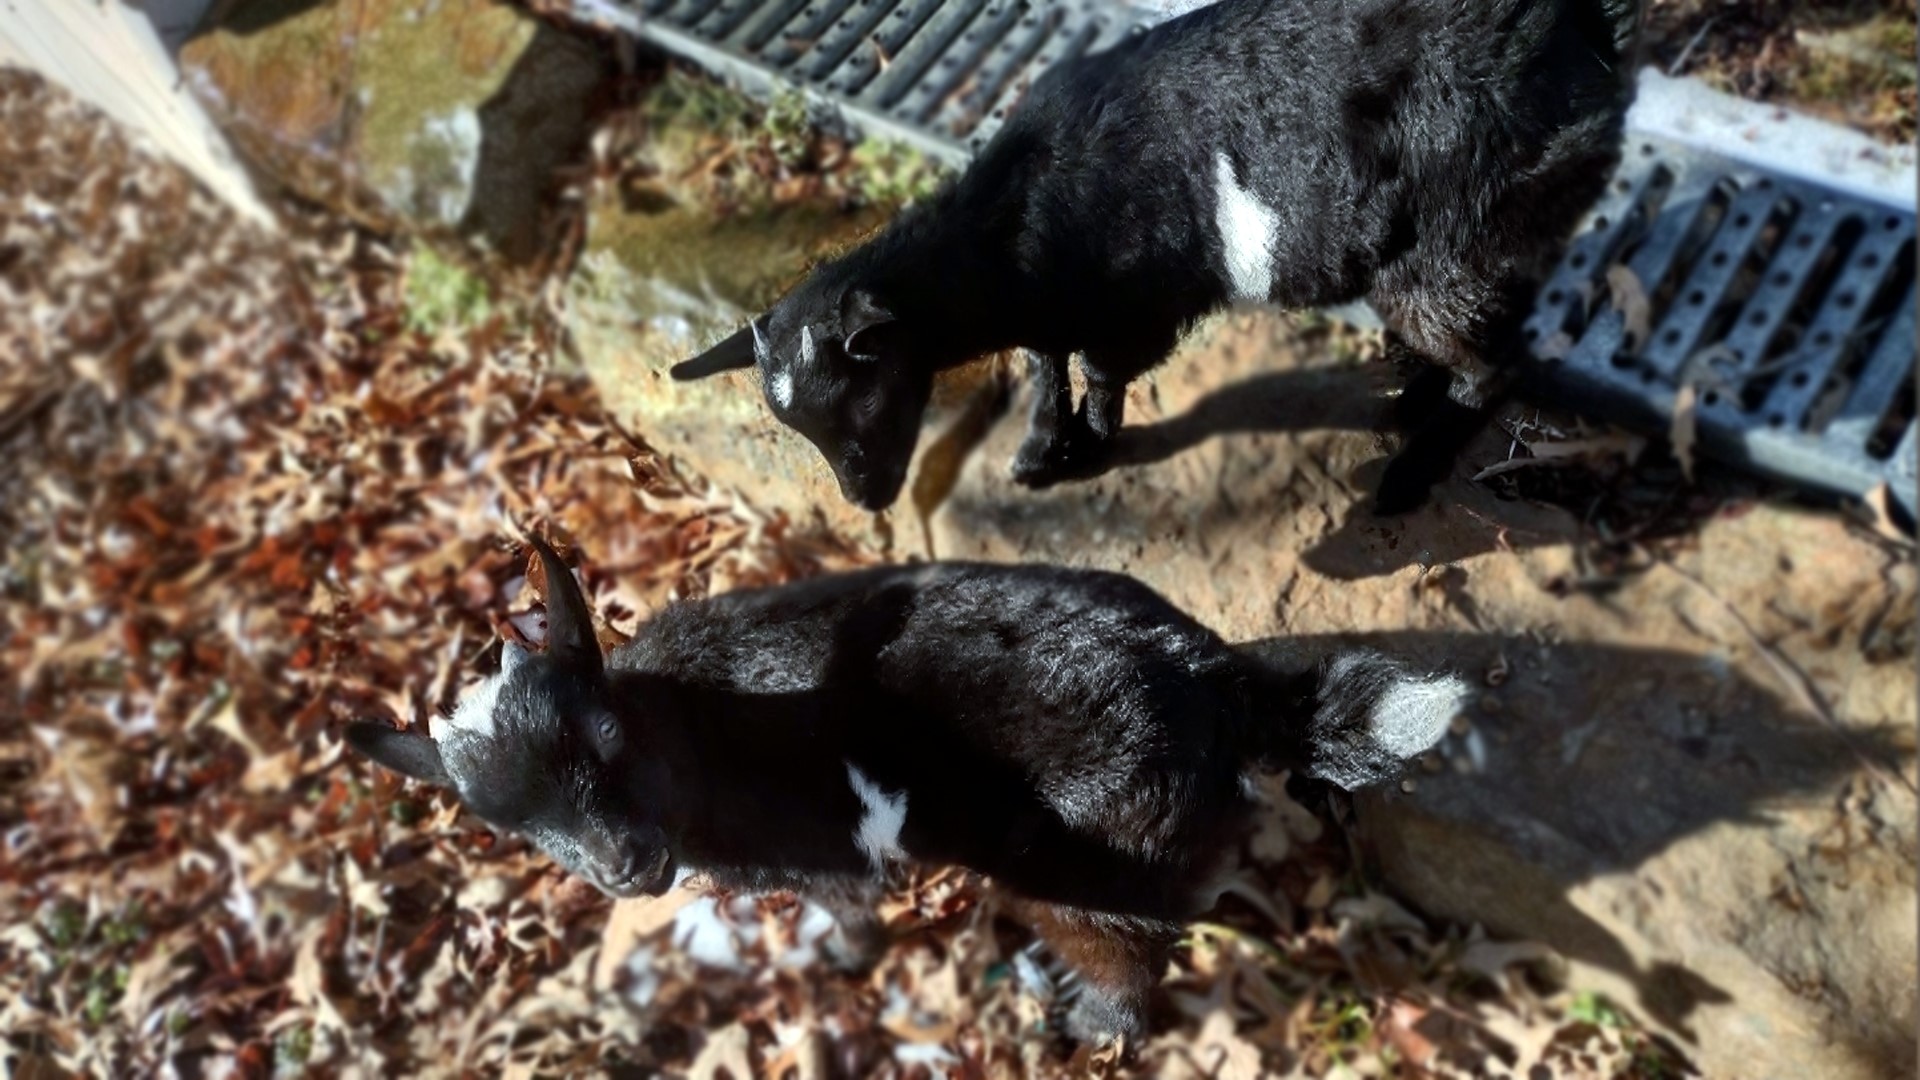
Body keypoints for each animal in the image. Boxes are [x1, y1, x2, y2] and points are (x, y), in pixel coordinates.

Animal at [346, 539, 1465, 1043]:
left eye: (609, 739)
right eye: (515, 831)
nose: (624, 869)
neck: (694, 728)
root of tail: (1216, 676)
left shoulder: (826, 852)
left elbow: (850, 914)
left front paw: (846, 964)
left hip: (1095, 839)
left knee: (1123, 944)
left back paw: (1090, 1021)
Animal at [669, 0, 1642, 514]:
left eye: (868, 393)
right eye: (794, 425)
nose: (866, 500)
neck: (1015, 235)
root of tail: (1588, 39)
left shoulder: (1135, 302)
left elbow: (1098, 371)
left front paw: (1093, 446)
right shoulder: (1059, 301)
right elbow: (1044, 363)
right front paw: (1038, 452)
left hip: (1462, 240)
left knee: (1495, 363)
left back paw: (1406, 476)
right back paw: (1404, 407)